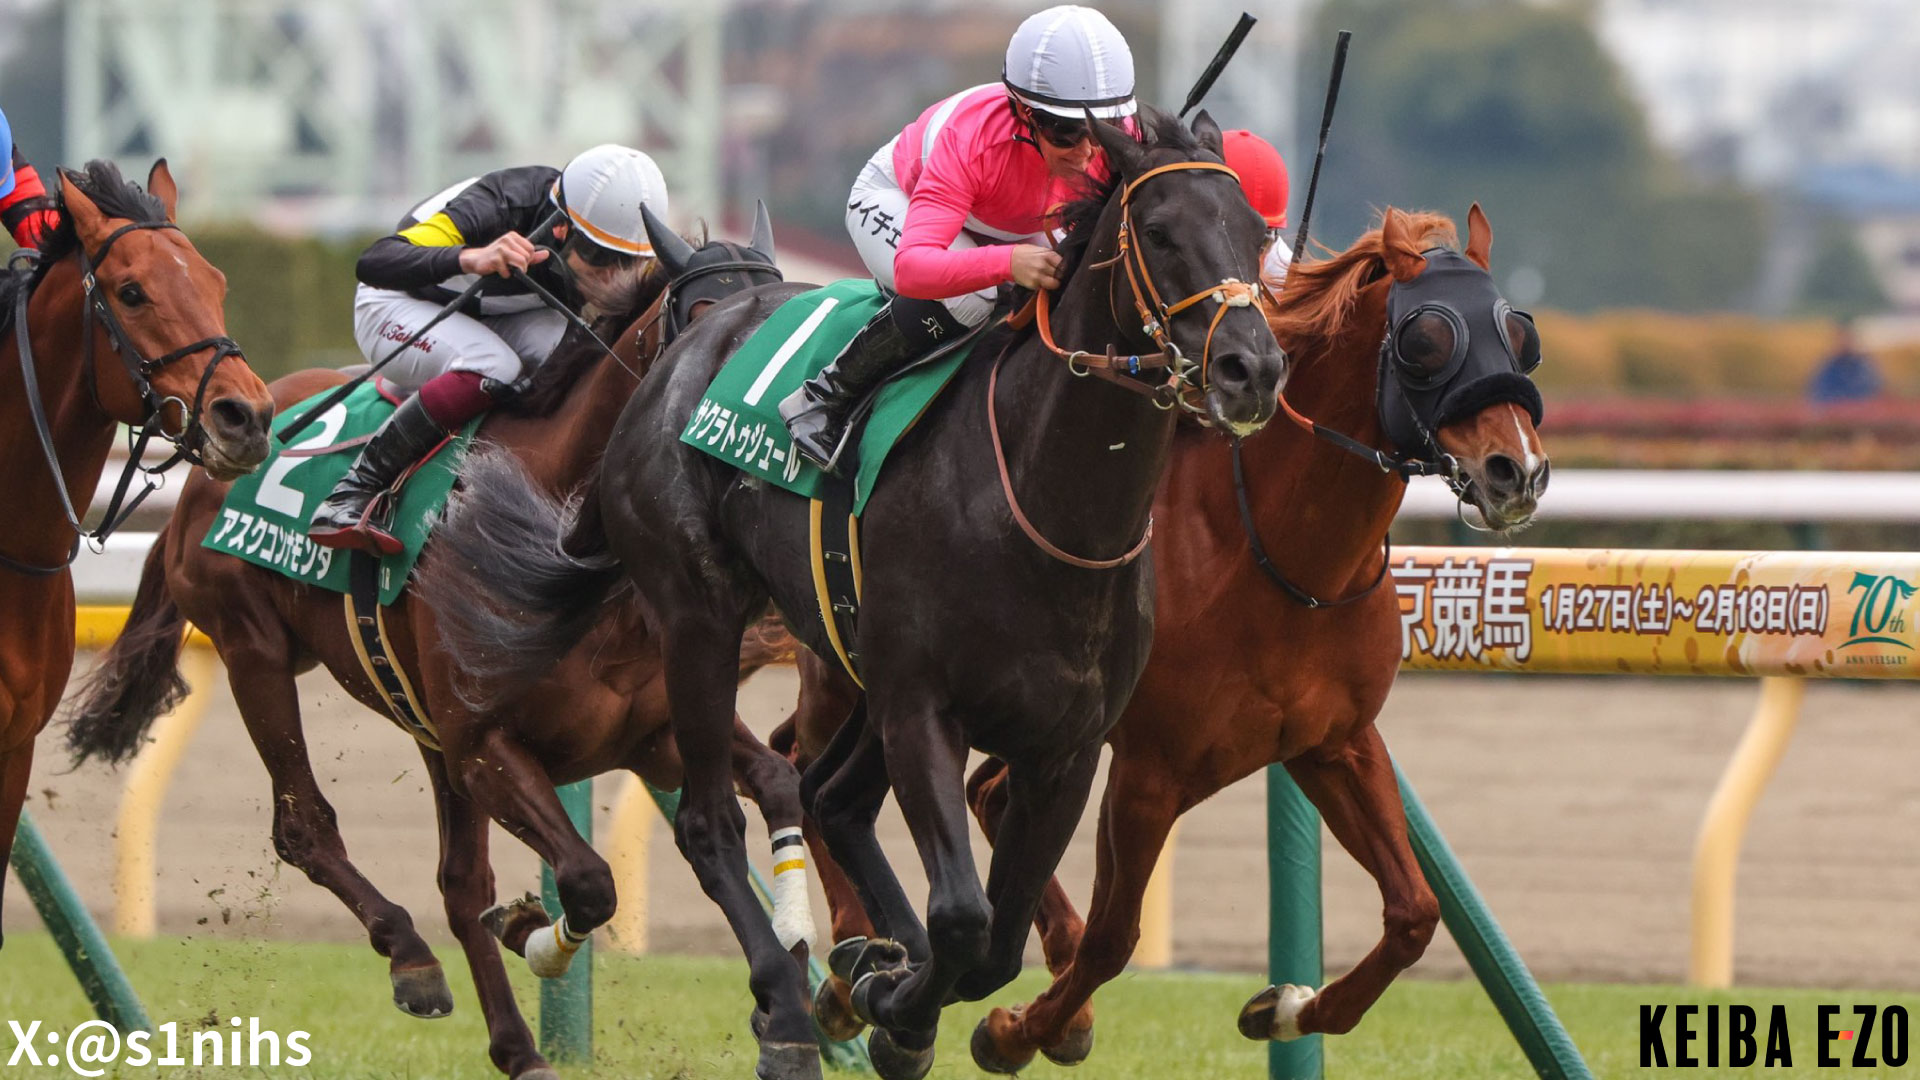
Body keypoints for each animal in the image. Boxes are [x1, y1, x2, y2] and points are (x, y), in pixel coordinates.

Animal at [65, 216, 787, 1080]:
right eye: (708, 318)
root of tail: (203, 466)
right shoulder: (485, 744)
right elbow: (588, 880)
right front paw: (529, 932)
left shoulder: (653, 734)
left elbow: (776, 783)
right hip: (254, 652)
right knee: (306, 826)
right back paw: (411, 958)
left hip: (415, 718)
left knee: (457, 879)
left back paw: (517, 1044)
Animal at [420, 108, 1289, 1080]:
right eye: (1161, 231)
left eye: (1258, 235)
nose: (1252, 369)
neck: (1043, 503)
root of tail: (674, 355)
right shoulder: (922, 707)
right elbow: (965, 919)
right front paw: (890, 1009)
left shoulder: (1066, 746)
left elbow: (994, 943)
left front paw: (890, 995)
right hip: (699, 617)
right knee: (714, 820)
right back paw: (789, 1009)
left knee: (832, 797)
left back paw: (856, 967)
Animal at [784, 205, 1552, 1070]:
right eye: (1427, 339)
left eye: (1519, 334)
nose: (1517, 471)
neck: (1277, 556)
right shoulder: (1149, 769)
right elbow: (1114, 938)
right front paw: (1012, 1030)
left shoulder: (1335, 743)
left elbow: (1414, 912)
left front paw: (1285, 1006)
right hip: (865, 676)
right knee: (808, 771)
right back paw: (858, 964)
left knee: (947, 789)